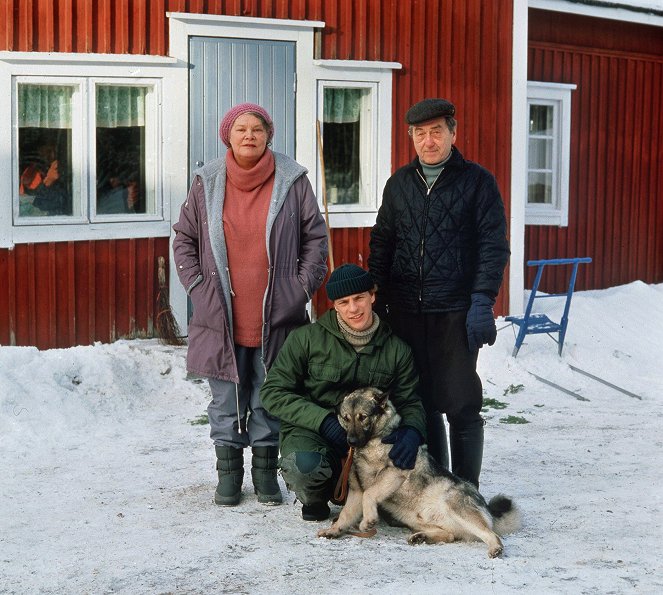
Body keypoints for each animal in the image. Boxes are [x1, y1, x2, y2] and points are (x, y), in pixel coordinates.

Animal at [320, 388, 520, 556]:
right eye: (346, 418)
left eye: (363, 417)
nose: (351, 441)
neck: (376, 439)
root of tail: (487, 509)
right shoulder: (356, 492)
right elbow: (346, 515)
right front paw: (334, 530)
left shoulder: (394, 473)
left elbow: (370, 494)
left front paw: (368, 520)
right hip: (414, 519)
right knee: (449, 535)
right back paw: (421, 537)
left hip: (456, 507)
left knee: (490, 534)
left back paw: (495, 548)